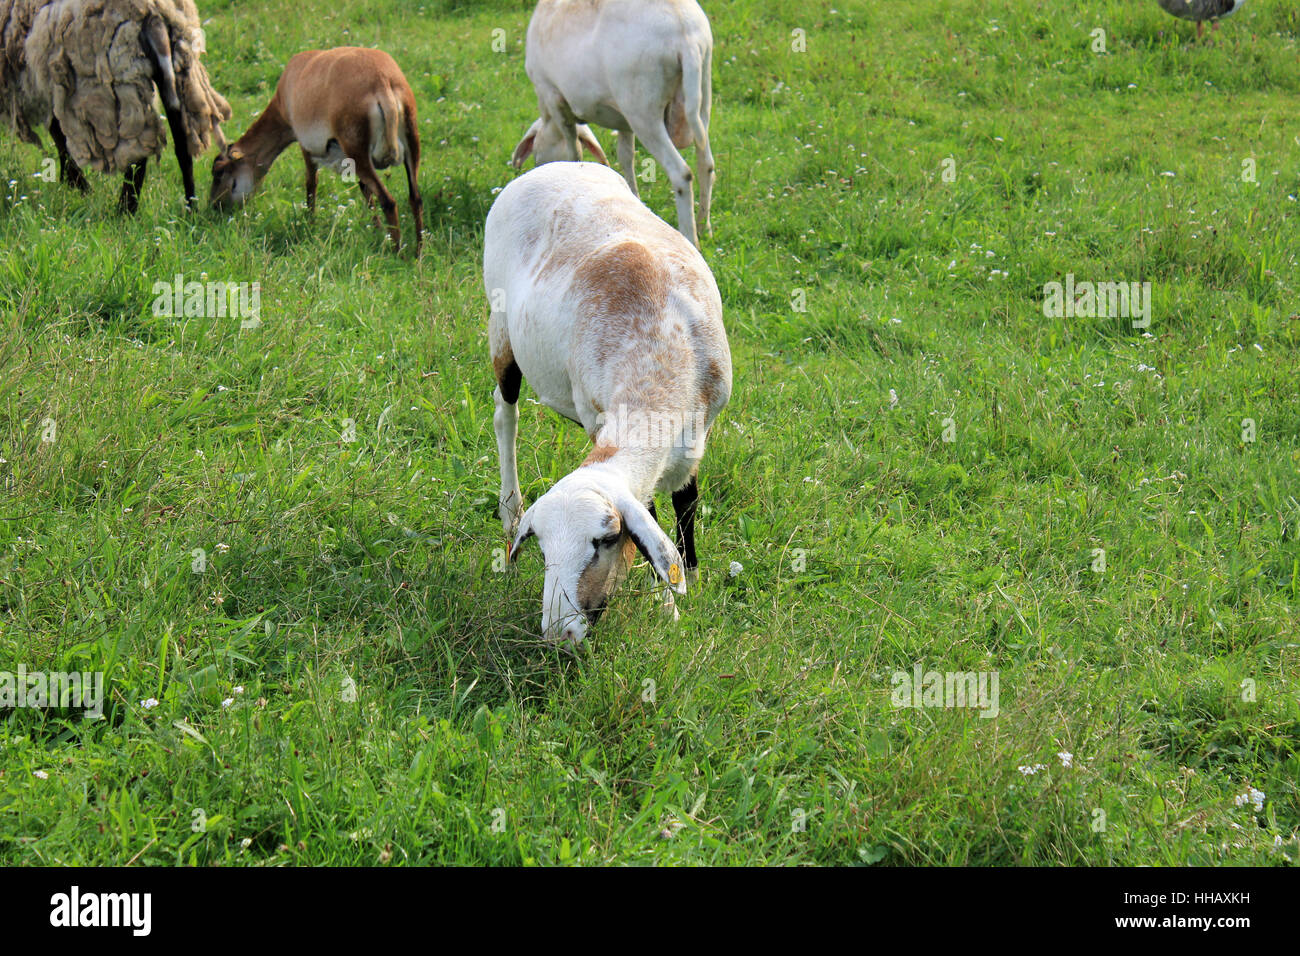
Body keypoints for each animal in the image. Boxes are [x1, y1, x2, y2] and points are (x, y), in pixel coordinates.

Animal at [210, 47, 423, 253]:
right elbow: (365, 189)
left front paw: (310, 223)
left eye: (219, 173)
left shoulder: (307, 146)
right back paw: (418, 253)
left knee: (389, 201)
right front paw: (377, 231)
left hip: (356, 147)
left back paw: (397, 253)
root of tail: (383, 84)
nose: (214, 208)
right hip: (410, 140)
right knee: (415, 198)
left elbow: (311, 185)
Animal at [484, 161, 732, 644]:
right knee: (506, 415)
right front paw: (666, 604)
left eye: (604, 540)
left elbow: (686, 502)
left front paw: (688, 577)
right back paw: (509, 507)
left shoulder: (699, 431)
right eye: (542, 548)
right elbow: (650, 507)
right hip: (500, 327)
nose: (559, 635)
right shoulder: (599, 417)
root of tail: (549, 167)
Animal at [510, 0, 715, 249]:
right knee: (706, 164)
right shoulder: (624, 122)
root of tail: (685, 36)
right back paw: (704, 226)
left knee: (681, 173)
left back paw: (691, 237)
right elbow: (626, 156)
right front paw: (634, 201)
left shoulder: (552, 95)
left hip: (641, 107)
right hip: (701, 93)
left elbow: (573, 151)